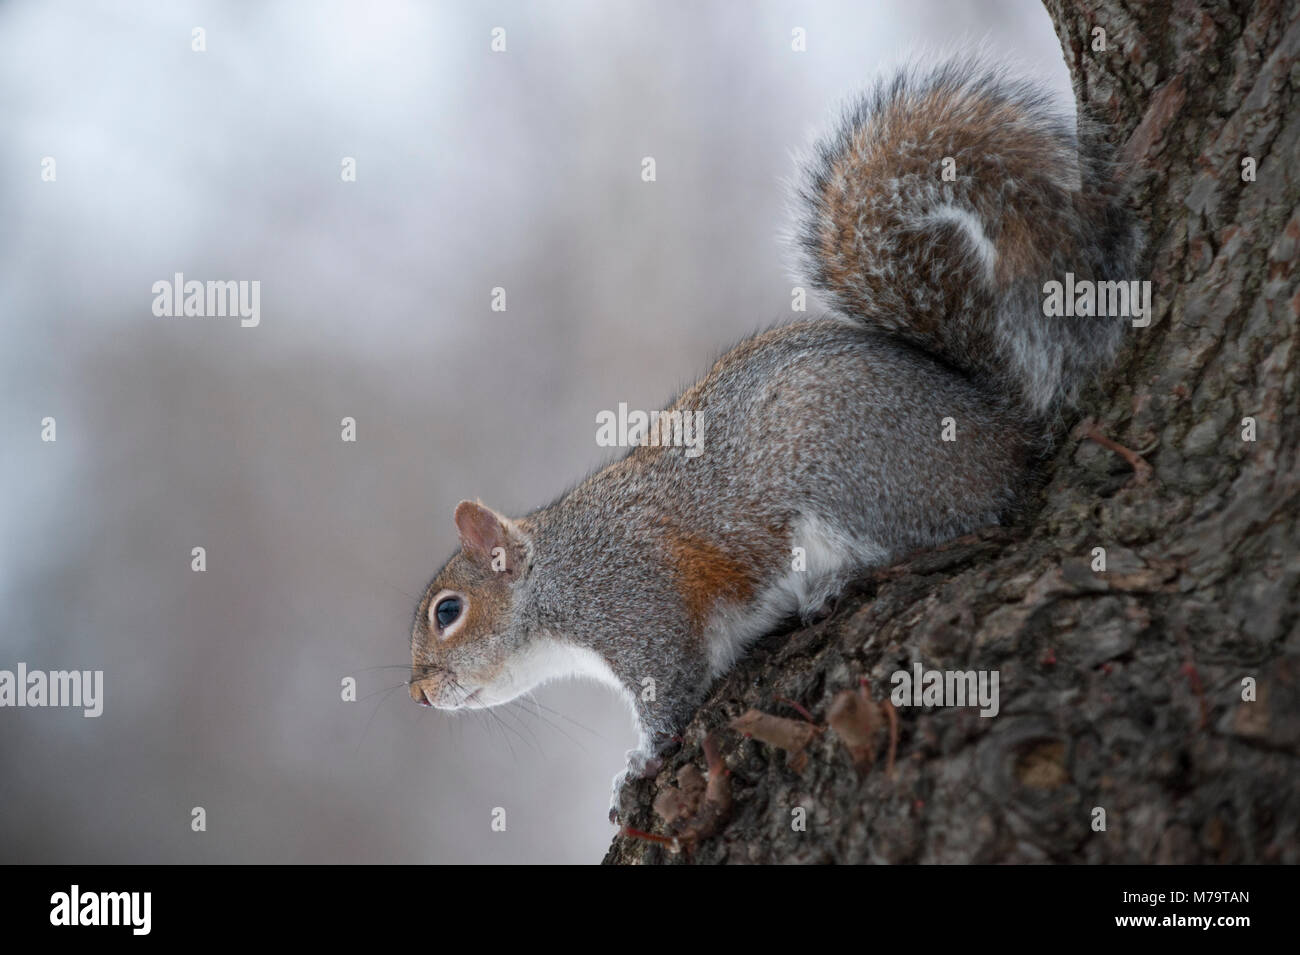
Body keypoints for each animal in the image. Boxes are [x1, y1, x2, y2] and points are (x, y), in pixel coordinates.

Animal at [408, 59, 1141, 821]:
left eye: (448, 612)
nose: (419, 692)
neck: (557, 575)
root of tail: (998, 428)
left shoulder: (638, 606)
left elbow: (671, 692)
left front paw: (636, 764)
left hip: (849, 471)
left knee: (939, 526)